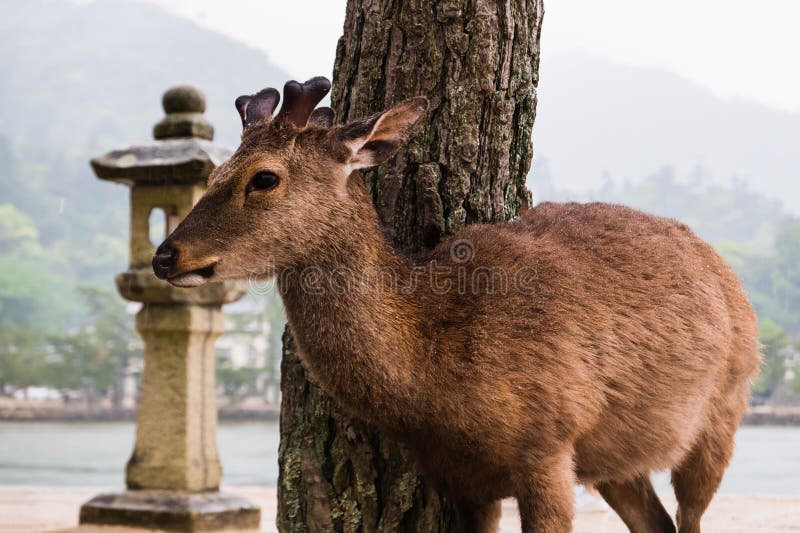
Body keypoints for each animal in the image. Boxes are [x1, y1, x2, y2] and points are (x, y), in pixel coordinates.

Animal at [152, 77, 761, 533]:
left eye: (264, 177)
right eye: (213, 173)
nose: (165, 255)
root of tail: (730, 278)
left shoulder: (549, 444)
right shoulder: (459, 480)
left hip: (723, 414)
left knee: (690, 516)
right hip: (615, 460)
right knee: (656, 522)